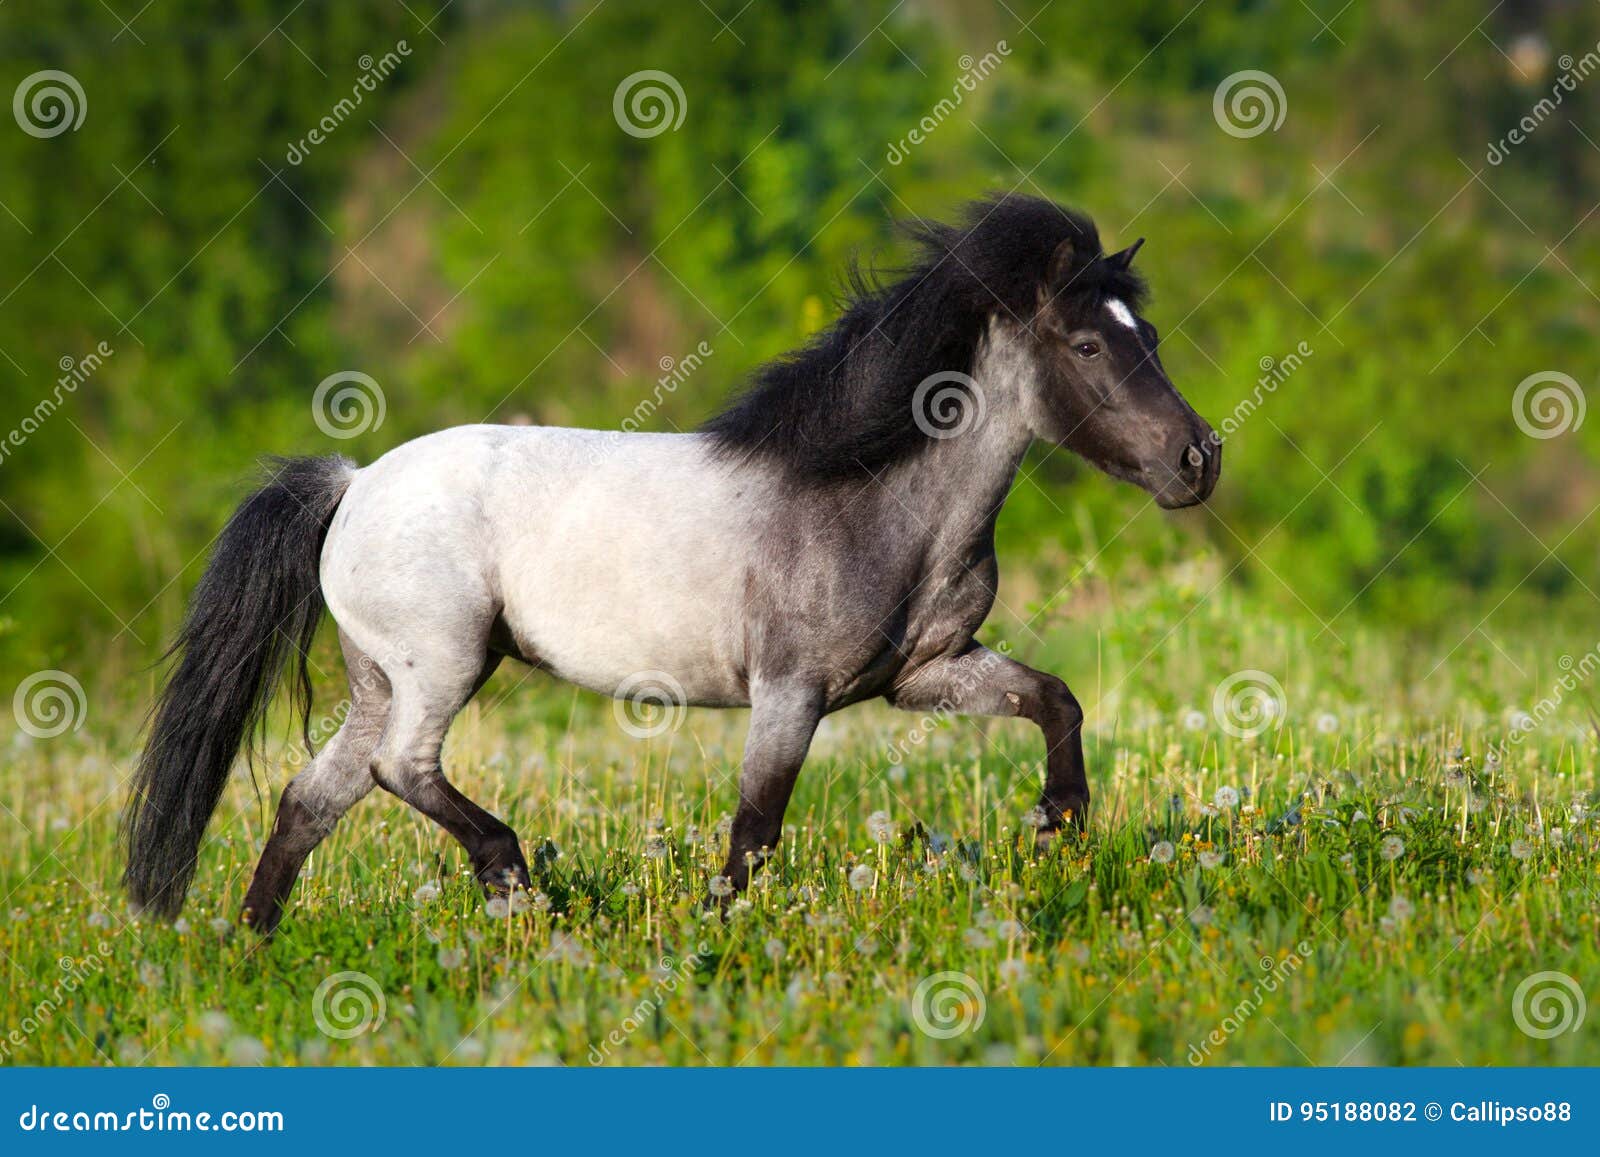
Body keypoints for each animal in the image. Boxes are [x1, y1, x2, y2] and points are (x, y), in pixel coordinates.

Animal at [122, 193, 1220, 933]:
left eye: (1151, 332)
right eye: (1086, 343)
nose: (1196, 459)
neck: (865, 494)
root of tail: (353, 484)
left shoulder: (926, 673)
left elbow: (1056, 698)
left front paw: (1058, 824)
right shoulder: (791, 692)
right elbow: (754, 831)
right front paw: (714, 943)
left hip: (376, 677)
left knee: (312, 798)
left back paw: (250, 951)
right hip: (441, 662)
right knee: (402, 768)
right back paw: (513, 880)